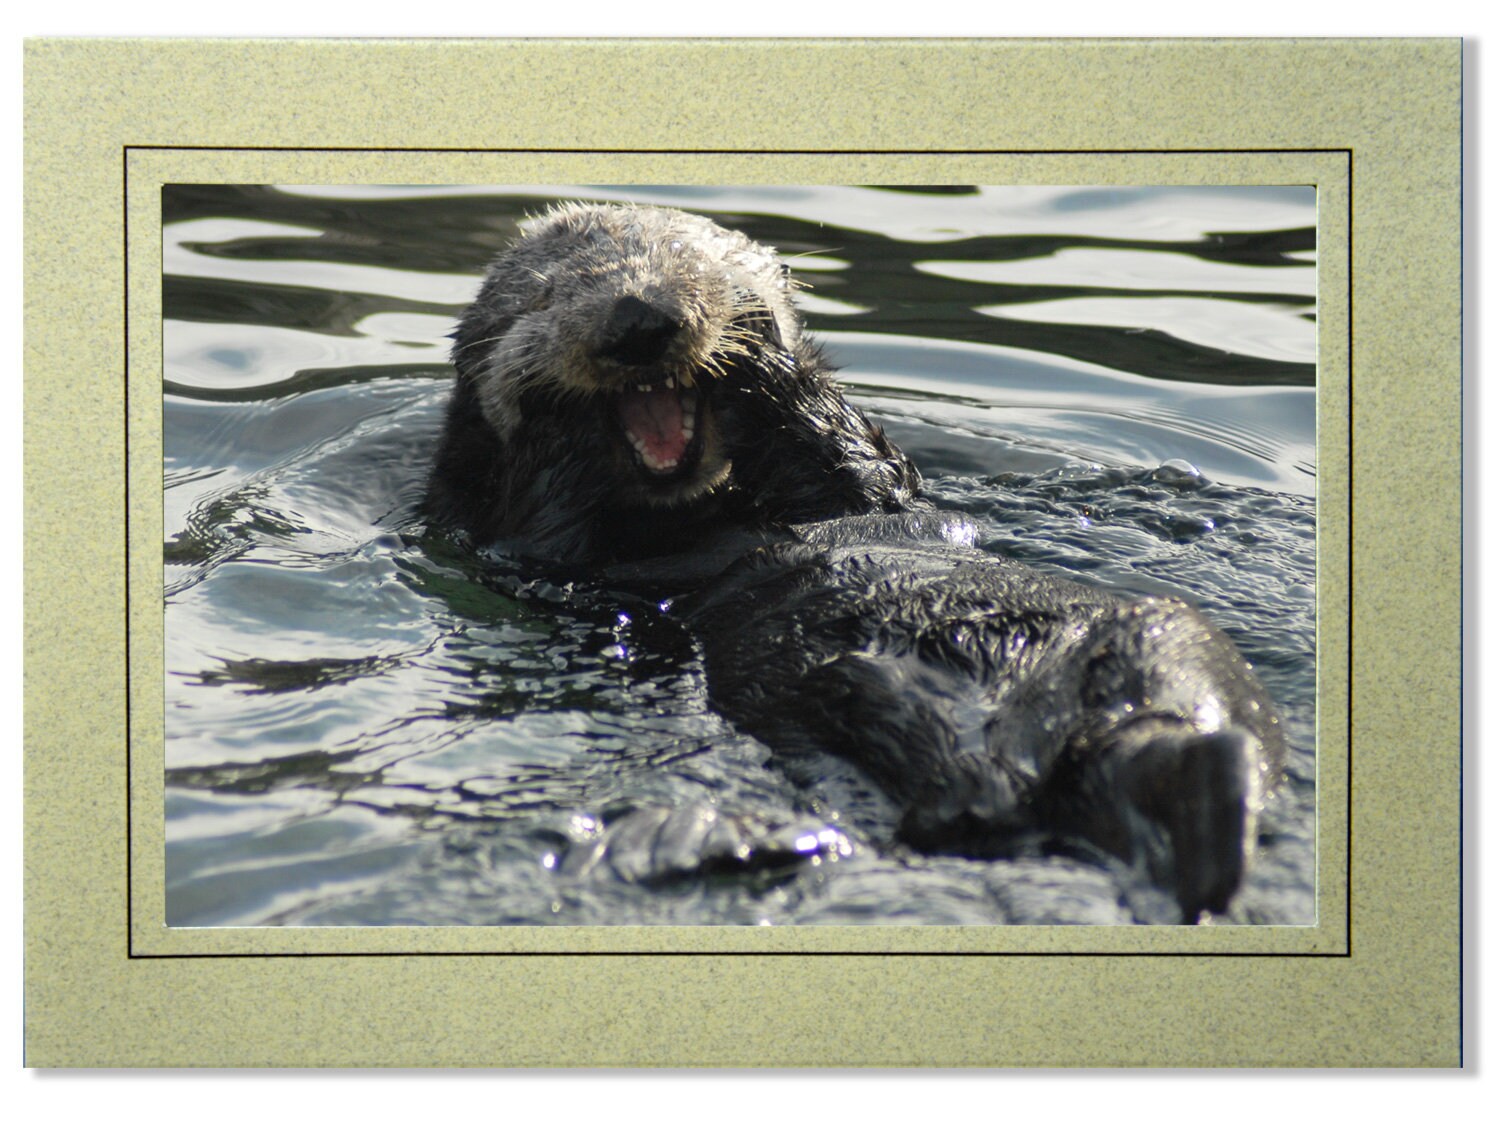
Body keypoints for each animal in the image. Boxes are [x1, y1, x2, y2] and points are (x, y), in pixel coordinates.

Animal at [425, 202, 1285, 921]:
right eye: (552, 294)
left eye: (687, 263)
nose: (639, 321)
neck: (707, 514)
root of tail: (991, 774)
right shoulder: (509, 541)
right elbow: (545, 504)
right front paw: (543, 399)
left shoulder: (864, 489)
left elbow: (860, 467)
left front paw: (762, 349)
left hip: (1158, 638)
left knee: (1165, 726)